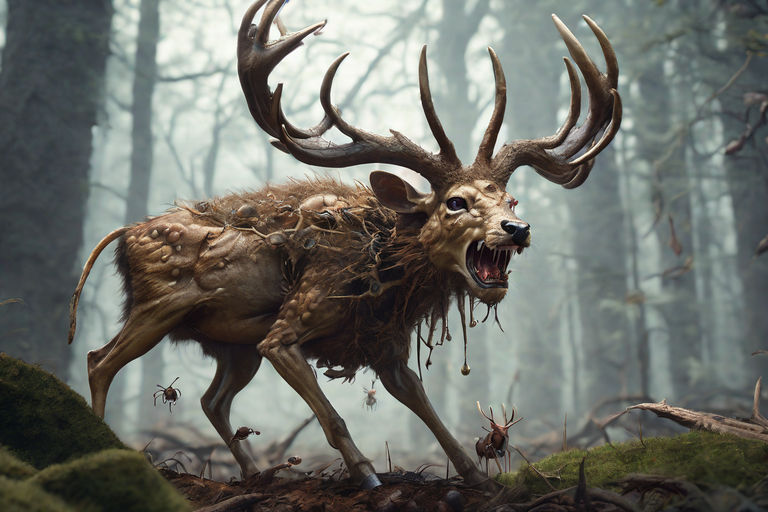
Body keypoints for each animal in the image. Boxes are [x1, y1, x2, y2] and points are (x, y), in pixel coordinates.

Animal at [68, 0, 620, 491]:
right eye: (455, 203)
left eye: (511, 198)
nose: (517, 228)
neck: (384, 265)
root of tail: (122, 234)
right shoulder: (290, 326)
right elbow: (333, 417)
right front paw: (368, 474)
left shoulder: (385, 342)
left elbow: (427, 409)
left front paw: (476, 476)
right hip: (157, 306)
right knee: (99, 359)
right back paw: (105, 446)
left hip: (232, 345)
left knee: (211, 400)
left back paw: (256, 473)